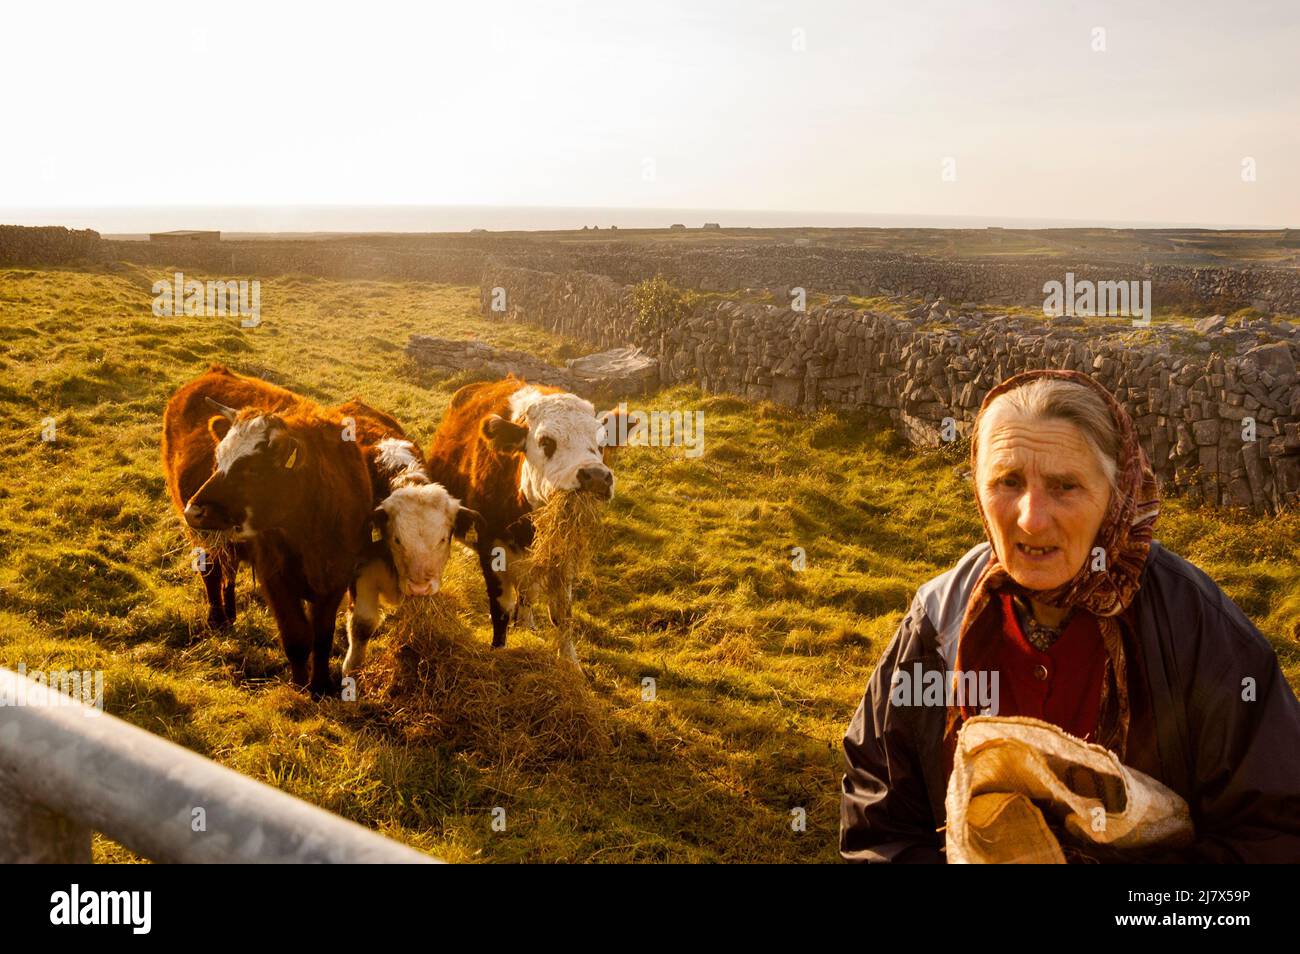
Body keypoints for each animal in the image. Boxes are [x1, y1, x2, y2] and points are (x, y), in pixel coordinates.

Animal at [424, 376, 626, 661]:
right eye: (546, 442)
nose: (596, 476)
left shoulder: (561, 556)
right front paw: (498, 653)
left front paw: (570, 664)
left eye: (602, 444)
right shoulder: (491, 548)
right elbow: (500, 609)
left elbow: (562, 613)